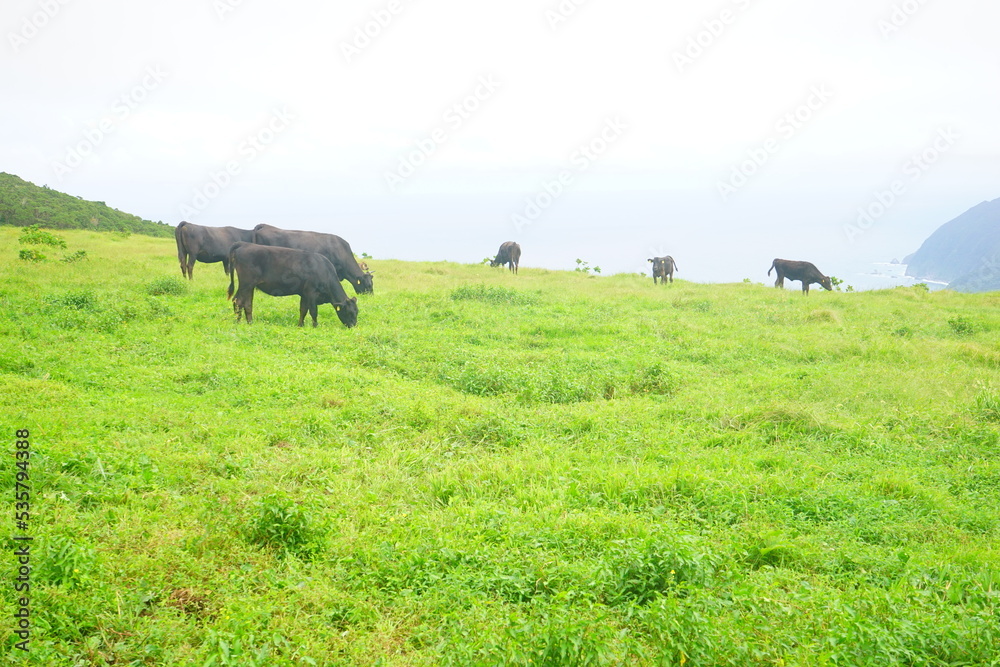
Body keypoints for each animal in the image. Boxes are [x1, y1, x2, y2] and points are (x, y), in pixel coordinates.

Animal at [226, 242, 358, 328]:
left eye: (357, 312)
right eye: (349, 312)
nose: (353, 326)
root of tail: (244, 244)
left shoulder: (304, 294)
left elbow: (303, 310)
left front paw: (300, 325)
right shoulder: (311, 293)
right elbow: (313, 311)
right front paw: (315, 326)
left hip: (248, 285)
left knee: (242, 301)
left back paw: (244, 322)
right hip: (247, 283)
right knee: (241, 301)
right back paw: (242, 323)